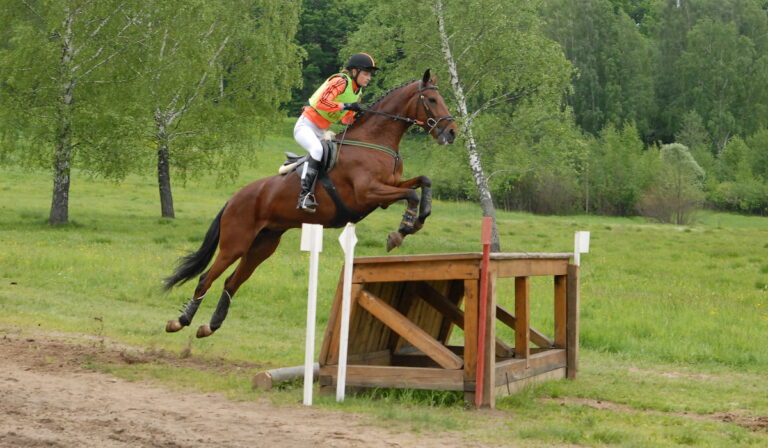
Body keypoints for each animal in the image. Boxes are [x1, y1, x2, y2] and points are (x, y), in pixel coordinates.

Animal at [163, 69, 458, 338]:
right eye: (432, 99)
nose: (452, 132)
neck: (374, 141)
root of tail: (234, 198)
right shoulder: (368, 193)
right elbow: (412, 195)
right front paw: (401, 231)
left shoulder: (390, 186)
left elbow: (423, 182)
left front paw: (417, 221)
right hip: (235, 243)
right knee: (207, 277)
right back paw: (180, 321)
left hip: (263, 245)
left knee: (231, 281)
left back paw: (210, 326)